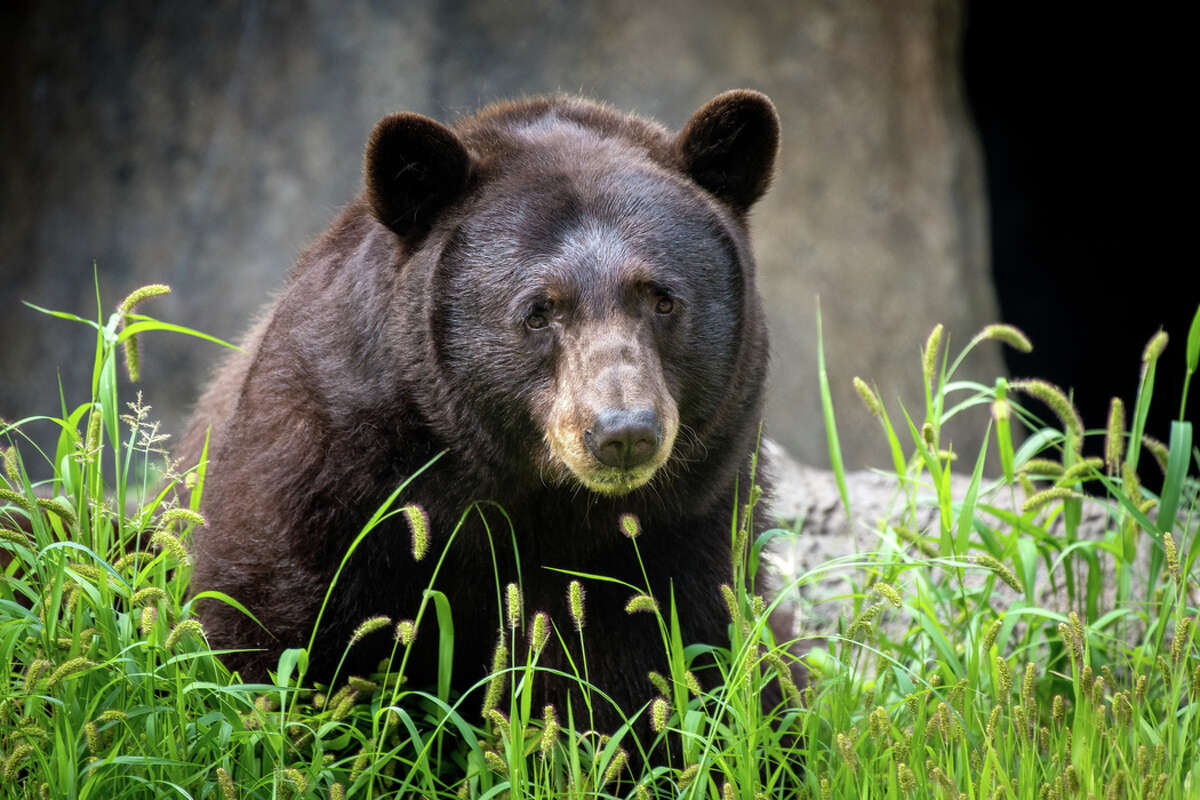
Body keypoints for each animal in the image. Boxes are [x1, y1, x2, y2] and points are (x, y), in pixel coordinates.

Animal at [178, 90, 781, 742]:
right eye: (539, 311)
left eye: (663, 300)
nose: (623, 433)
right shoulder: (326, 465)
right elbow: (271, 624)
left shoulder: (688, 524)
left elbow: (651, 670)